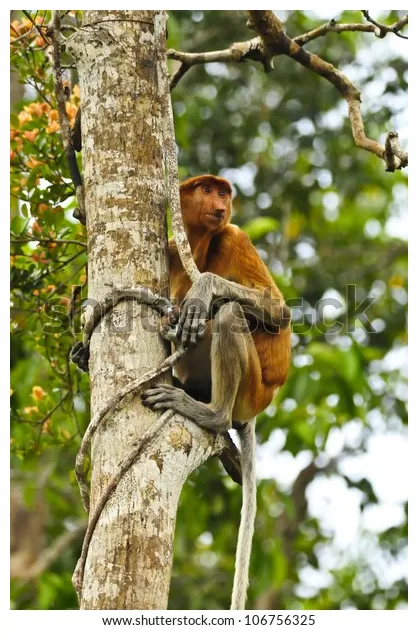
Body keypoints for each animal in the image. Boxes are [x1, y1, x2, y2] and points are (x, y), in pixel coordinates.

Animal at [142, 175, 291, 610]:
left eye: (224, 192)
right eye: (207, 190)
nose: (221, 203)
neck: (200, 245)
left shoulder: (234, 236)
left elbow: (279, 311)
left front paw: (203, 289)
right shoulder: (172, 250)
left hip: (251, 390)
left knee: (228, 313)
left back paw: (211, 413)